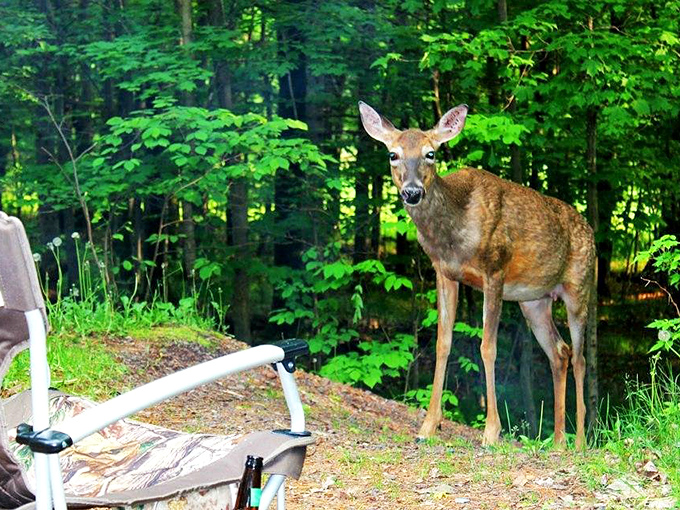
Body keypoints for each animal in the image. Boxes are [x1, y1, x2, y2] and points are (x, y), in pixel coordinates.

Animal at [358, 101, 595, 449]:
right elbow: (442, 342)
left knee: (579, 358)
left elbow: (488, 346)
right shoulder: (445, 273)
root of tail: (591, 232)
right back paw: (557, 441)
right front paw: (428, 426)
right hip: (534, 301)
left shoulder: (494, 270)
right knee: (559, 352)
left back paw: (578, 443)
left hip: (579, 287)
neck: (454, 232)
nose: (412, 192)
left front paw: (491, 432)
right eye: (393, 154)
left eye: (431, 153)